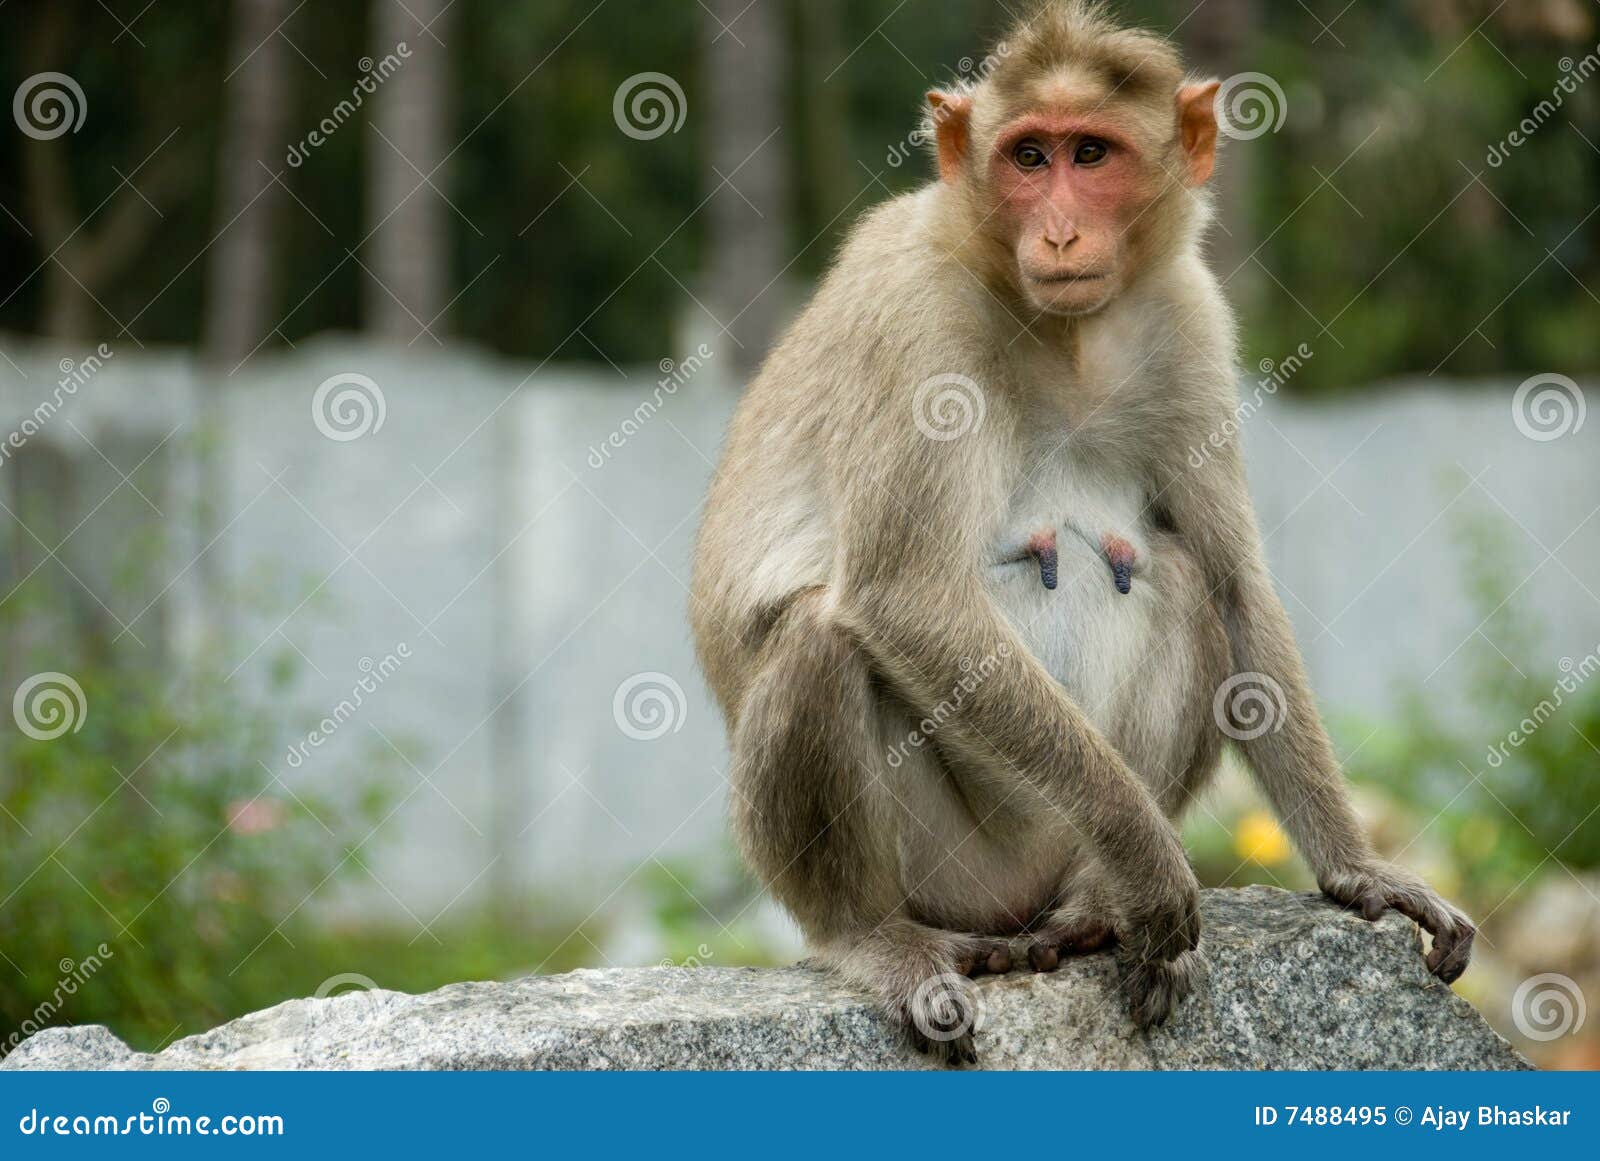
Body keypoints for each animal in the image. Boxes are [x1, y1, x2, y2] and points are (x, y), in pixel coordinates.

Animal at [689, 0, 1473, 1065]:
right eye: (1028, 157)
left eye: (1091, 153)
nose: (1059, 230)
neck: (1062, 331)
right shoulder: (916, 319)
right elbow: (904, 592)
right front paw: (1146, 851)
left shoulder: (1188, 315)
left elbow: (1235, 587)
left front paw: (1359, 871)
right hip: (959, 871)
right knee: (821, 639)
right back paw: (880, 937)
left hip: (1044, 862)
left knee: (1184, 584)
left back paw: (1095, 909)